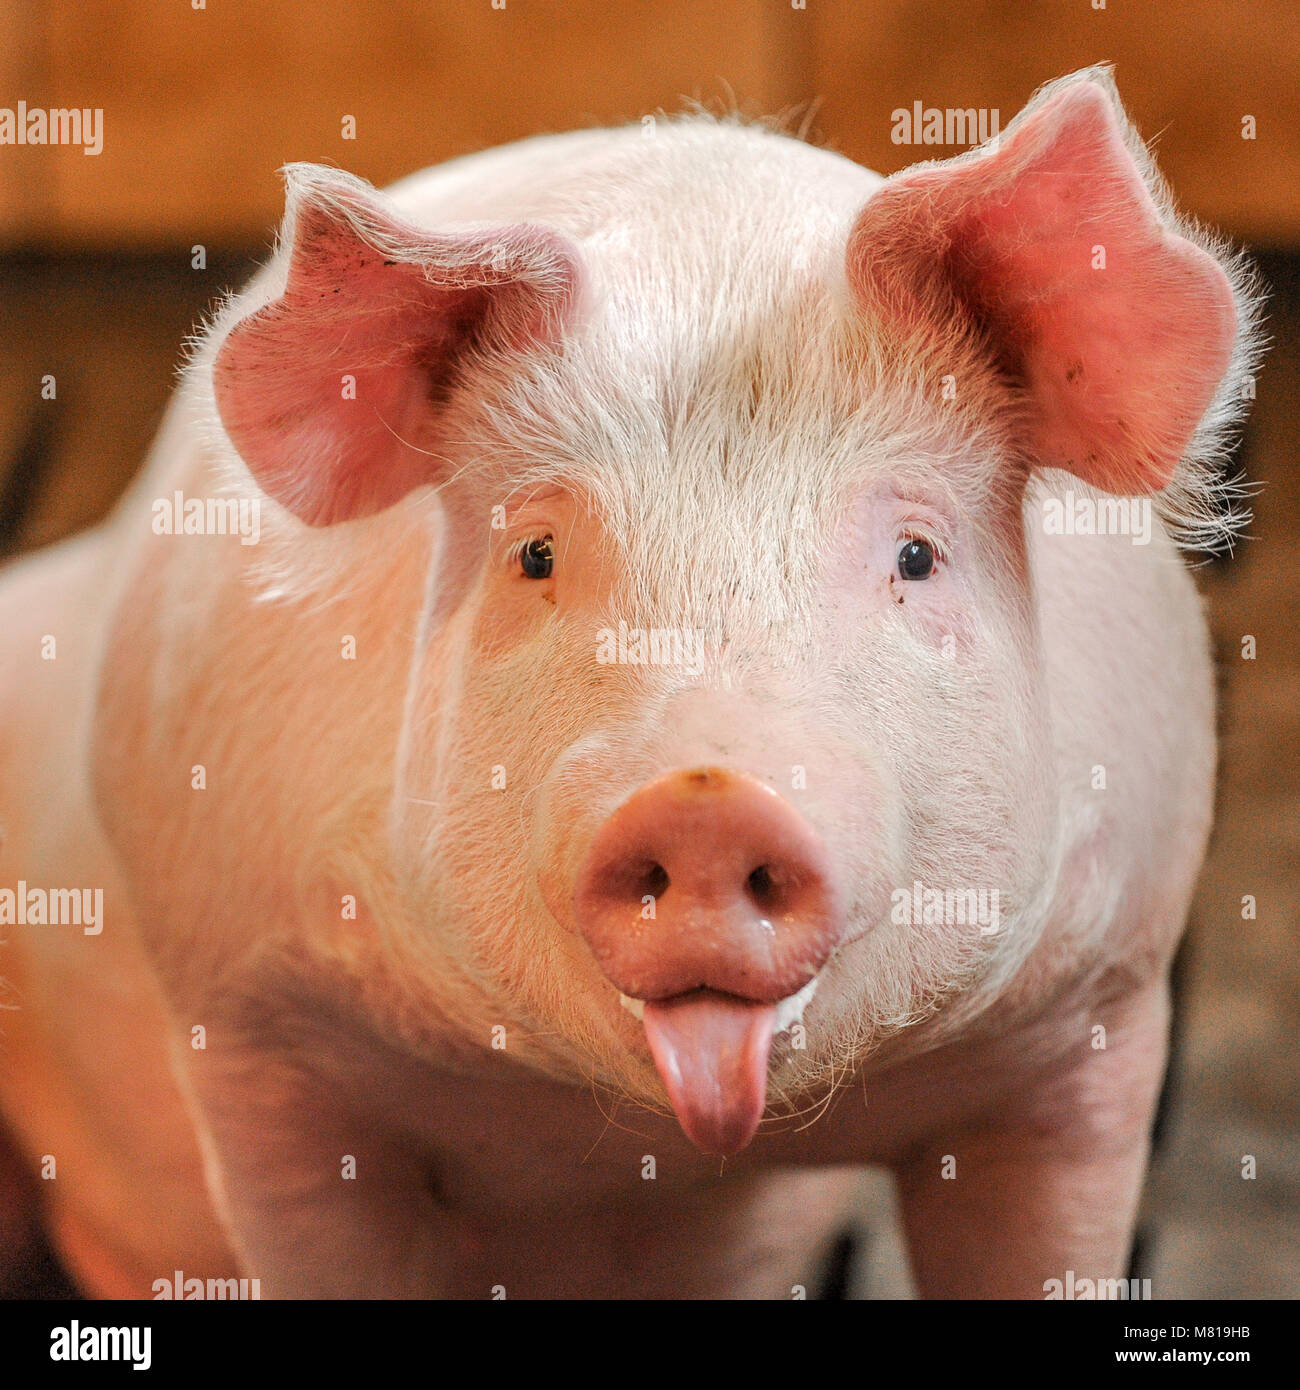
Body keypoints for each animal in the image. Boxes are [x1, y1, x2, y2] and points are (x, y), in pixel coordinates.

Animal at [0, 65, 1261, 1299]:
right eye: (535, 555)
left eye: (916, 556)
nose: (707, 795)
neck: (630, 1148)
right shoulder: (255, 1033)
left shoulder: (1093, 1017)